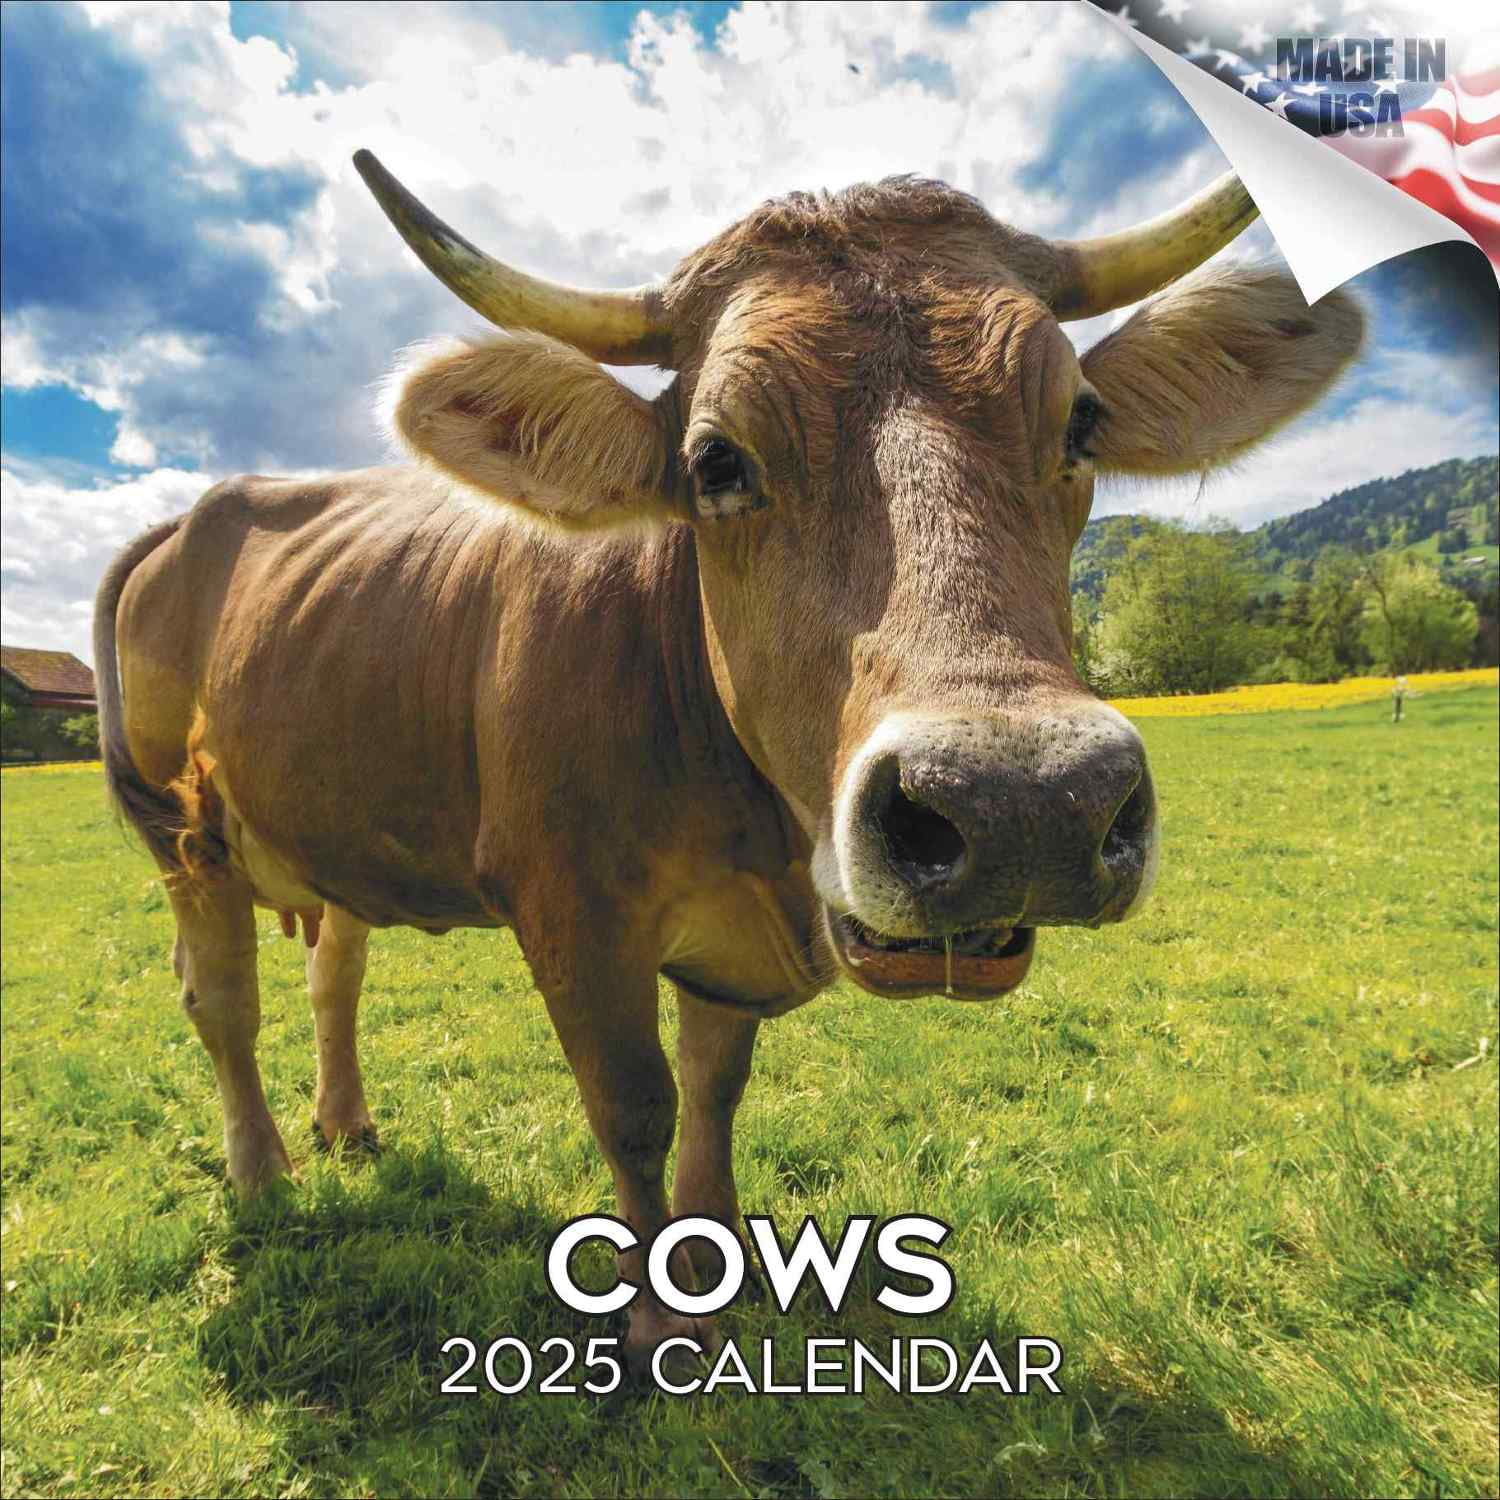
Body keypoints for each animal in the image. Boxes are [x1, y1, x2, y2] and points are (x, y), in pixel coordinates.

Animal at [94, 151, 1363, 1366]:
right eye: (715, 460)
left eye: (1080, 424)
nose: (1022, 806)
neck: (755, 834)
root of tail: (194, 514)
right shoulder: (571, 911)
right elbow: (636, 1104)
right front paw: (660, 1321)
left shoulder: (729, 942)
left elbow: (714, 1090)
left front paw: (715, 1269)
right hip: (185, 835)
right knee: (222, 1001)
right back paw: (263, 1172)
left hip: (330, 820)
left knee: (334, 971)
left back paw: (345, 1122)